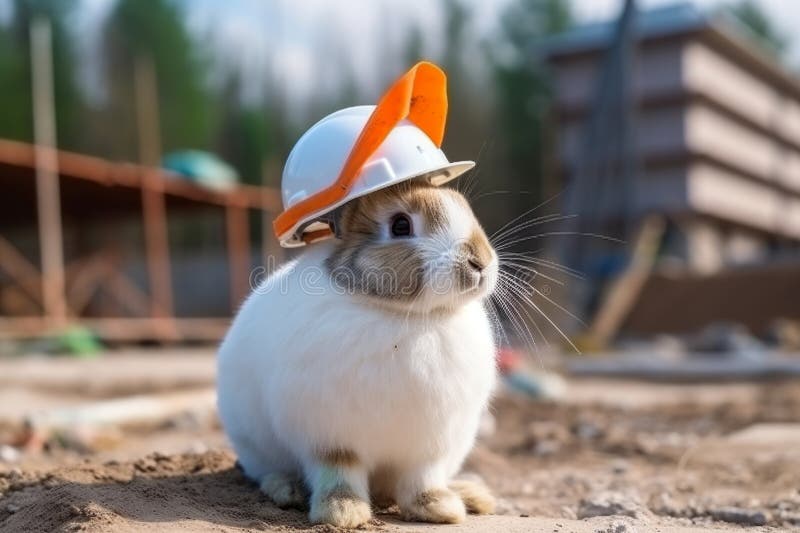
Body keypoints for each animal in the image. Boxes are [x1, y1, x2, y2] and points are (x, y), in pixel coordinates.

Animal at [217, 178, 498, 528]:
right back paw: (286, 489)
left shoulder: (430, 444)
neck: (405, 315)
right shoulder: (330, 437)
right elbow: (340, 470)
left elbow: (422, 478)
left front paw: (439, 508)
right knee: (268, 471)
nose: (480, 262)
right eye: (400, 225)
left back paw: (472, 496)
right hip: (256, 446)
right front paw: (342, 512)